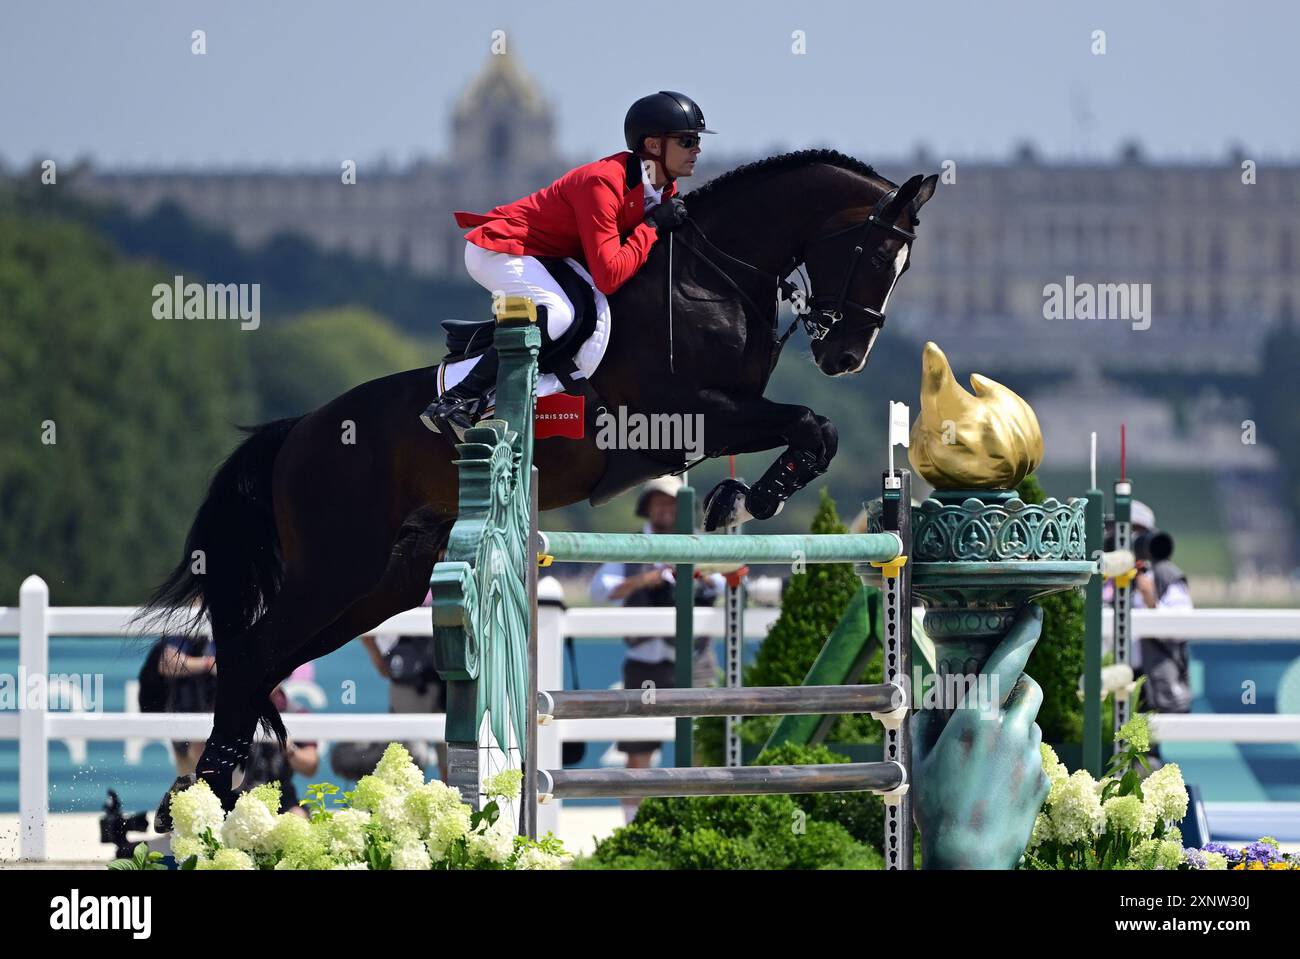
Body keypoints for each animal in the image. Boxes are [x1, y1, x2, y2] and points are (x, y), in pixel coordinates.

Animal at [140, 149, 938, 807]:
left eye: (906, 265)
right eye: (873, 250)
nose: (846, 357)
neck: (711, 279)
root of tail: (299, 430)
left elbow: (816, 428)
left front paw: (739, 497)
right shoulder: (687, 417)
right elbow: (811, 424)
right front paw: (747, 497)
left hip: (383, 582)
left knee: (269, 658)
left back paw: (217, 791)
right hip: (337, 566)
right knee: (252, 653)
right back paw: (203, 797)